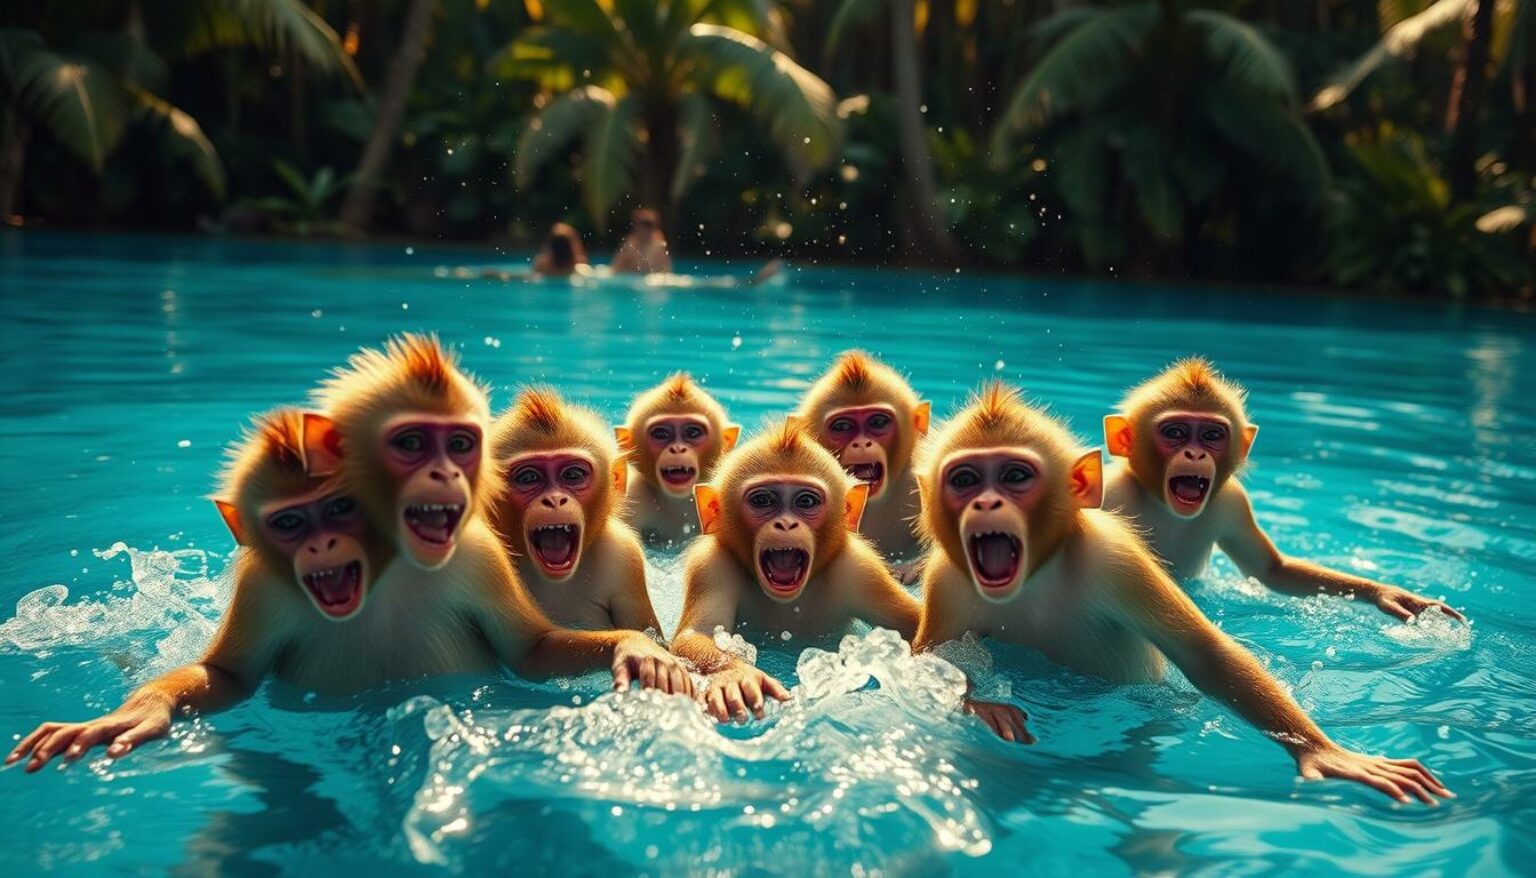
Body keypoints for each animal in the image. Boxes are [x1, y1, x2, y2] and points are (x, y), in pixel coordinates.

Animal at [671, 420, 925, 724]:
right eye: (762, 501)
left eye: (806, 502)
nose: (785, 524)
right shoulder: (709, 565)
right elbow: (696, 635)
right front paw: (734, 674)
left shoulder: (860, 569)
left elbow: (916, 621)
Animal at [911, 383, 1452, 804]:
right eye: (965, 479)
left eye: (1015, 476)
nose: (985, 502)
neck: (1034, 576)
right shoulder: (947, 579)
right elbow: (925, 659)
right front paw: (984, 705)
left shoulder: (1120, 558)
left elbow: (1216, 641)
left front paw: (1329, 752)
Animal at [1102, 358, 1464, 623]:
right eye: (1175, 432)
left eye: (1211, 435)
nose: (1195, 454)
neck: (1163, 504)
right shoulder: (1112, 491)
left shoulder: (1233, 500)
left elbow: (1271, 570)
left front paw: (1387, 593)